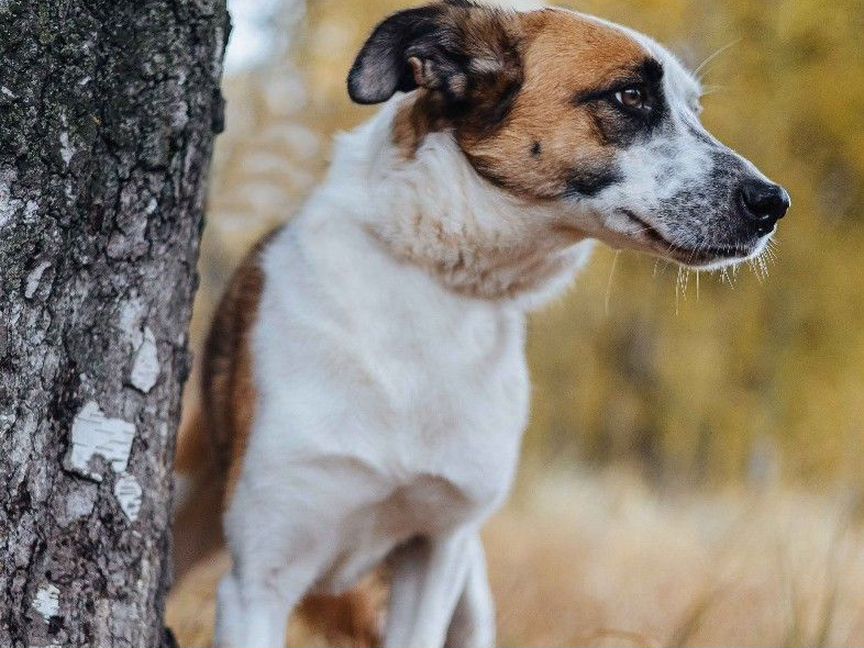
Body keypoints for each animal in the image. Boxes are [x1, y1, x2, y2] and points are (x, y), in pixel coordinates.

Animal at [174, 2, 788, 644]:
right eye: (630, 96)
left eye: (694, 110)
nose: (774, 203)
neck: (441, 283)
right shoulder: (260, 581)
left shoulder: (434, 558)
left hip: (468, 594)